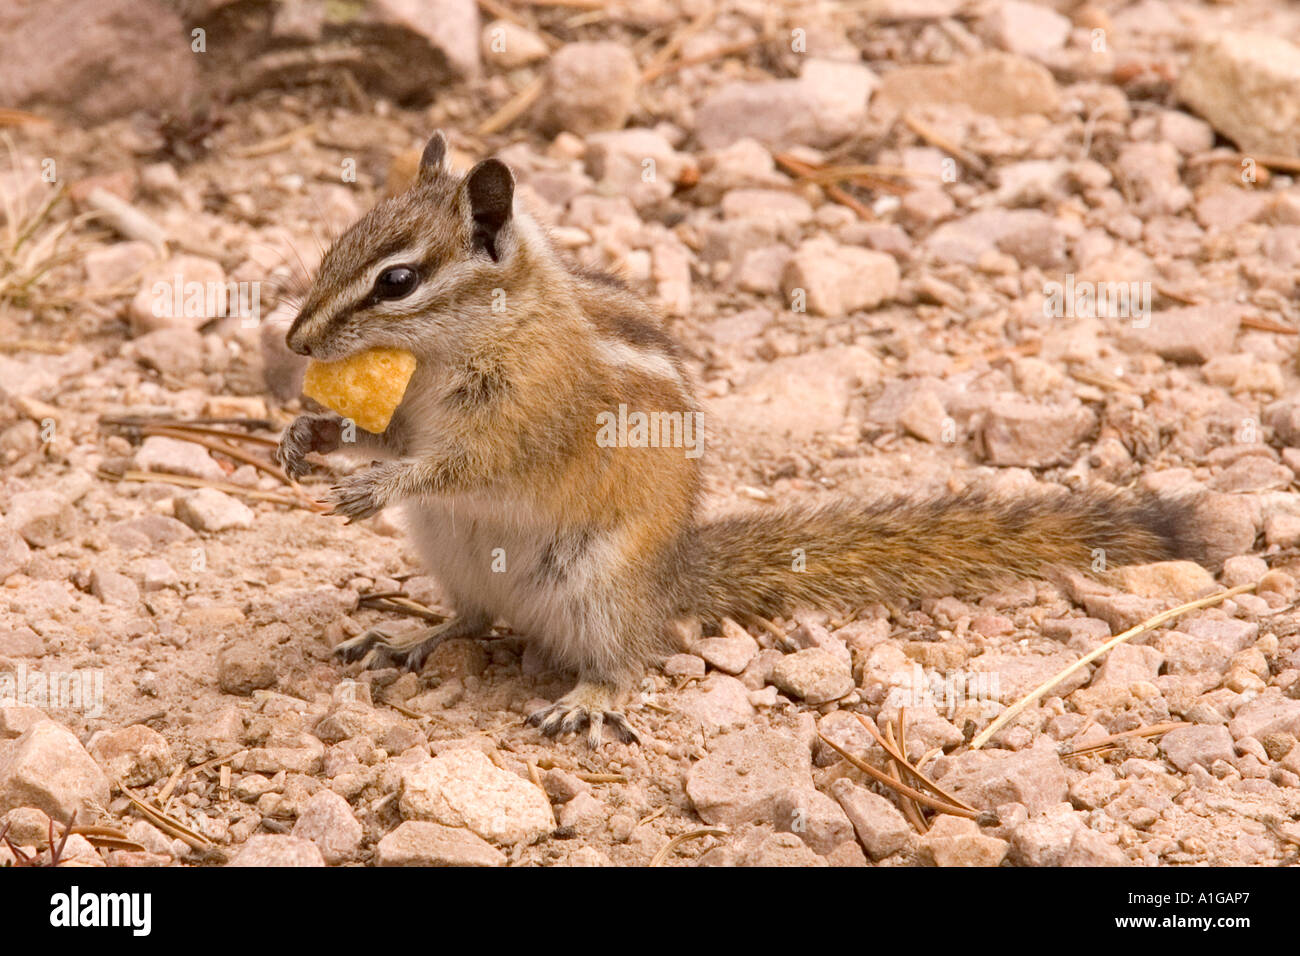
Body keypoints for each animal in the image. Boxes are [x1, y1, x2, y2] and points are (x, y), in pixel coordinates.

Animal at [275, 131, 1207, 748]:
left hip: (597, 585)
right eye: (335, 247)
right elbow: (384, 434)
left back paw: (591, 698)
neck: (460, 349)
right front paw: (307, 433)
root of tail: (673, 576)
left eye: (398, 280)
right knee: (471, 617)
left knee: (622, 658)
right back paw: (408, 635)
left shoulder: (531, 413)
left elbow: (465, 462)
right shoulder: (409, 410)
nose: (296, 342)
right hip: (453, 555)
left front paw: (378, 483)